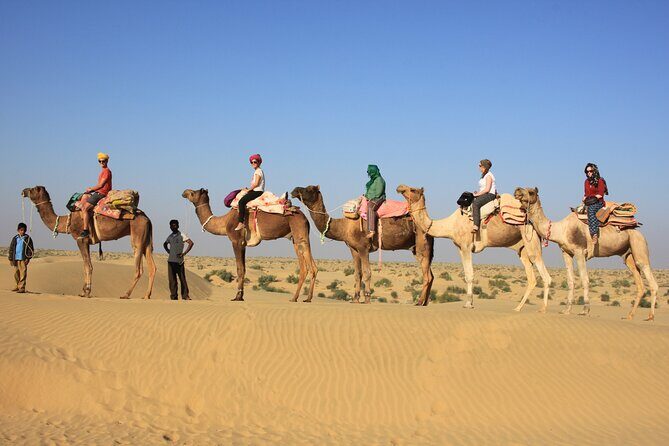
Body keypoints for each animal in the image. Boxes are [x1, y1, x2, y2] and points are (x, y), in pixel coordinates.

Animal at [22, 186, 156, 299]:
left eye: (33, 189)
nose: (23, 191)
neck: (68, 221)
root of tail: (147, 218)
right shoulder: (86, 242)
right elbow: (85, 265)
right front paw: (83, 290)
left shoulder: (81, 239)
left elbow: (88, 266)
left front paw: (86, 291)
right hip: (146, 240)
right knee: (152, 267)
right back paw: (146, 295)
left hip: (137, 234)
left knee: (138, 268)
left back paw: (126, 294)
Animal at [182, 188, 317, 302]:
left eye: (193, 193)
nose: (184, 192)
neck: (225, 221)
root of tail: (305, 218)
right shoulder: (243, 244)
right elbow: (244, 268)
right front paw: (241, 296)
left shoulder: (236, 241)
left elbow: (239, 269)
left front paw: (237, 297)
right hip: (296, 238)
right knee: (311, 266)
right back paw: (306, 298)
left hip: (299, 233)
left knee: (306, 267)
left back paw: (297, 298)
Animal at [290, 185, 435, 305]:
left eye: (309, 189)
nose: (294, 190)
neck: (344, 226)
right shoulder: (353, 249)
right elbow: (357, 273)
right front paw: (355, 299)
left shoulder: (363, 247)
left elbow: (367, 272)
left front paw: (367, 298)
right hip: (419, 248)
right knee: (431, 275)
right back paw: (425, 302)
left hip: (423, 245)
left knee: (427, 275)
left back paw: (419, 302)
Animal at [396, 185, 552, 312]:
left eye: (413, 190)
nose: (400, 187)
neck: (451, 224)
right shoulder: (460, 248)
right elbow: (466, 274)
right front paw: (469, 302)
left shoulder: (466, 246)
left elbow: (470, 275)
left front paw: (468, 304)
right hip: (522, 248)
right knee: (531, 278)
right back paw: (518, 308)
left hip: (530, 237)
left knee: (544, 273)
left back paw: (543, 309)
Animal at [514, 187, 659, 320]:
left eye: (531, 192)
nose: (517, 190)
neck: (561, 229)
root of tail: (637, 229)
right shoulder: (566, 253)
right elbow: (570, 281)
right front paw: (566, 310)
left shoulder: (580, 252)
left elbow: (584, 279)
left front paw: (585, 310)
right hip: (627, 255)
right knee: (639, 283)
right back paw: (630, 315)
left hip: (638, 243)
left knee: (649, 277)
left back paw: (650, 316)